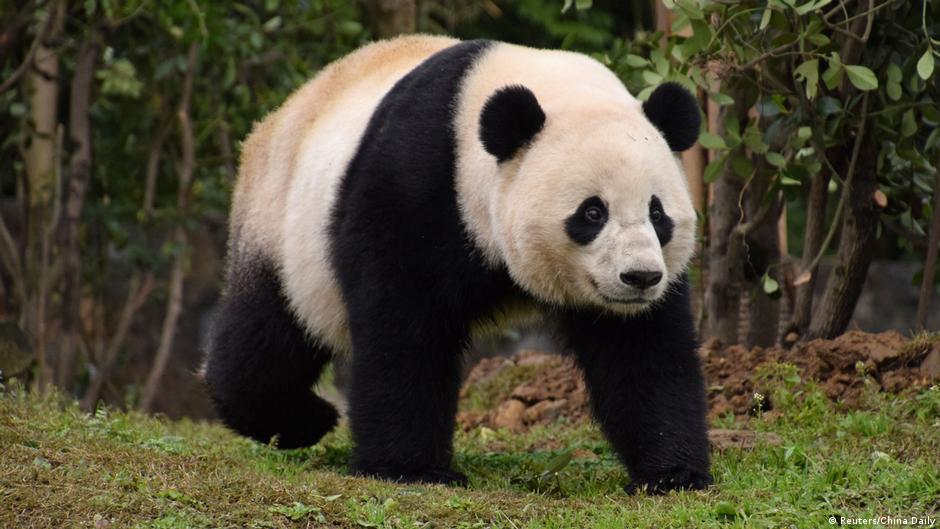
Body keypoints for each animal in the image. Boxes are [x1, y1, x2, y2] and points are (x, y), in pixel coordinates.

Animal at [204, 35, 711, 494]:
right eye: (592, 213)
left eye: (657, 213)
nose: (640, 278)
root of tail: (281, 113)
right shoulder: (415, 185)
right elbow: (404, 330)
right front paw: (412, 470)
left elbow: (642, 351)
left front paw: (672, 473)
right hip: (283, 228)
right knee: (268, 336)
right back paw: (300, 420)